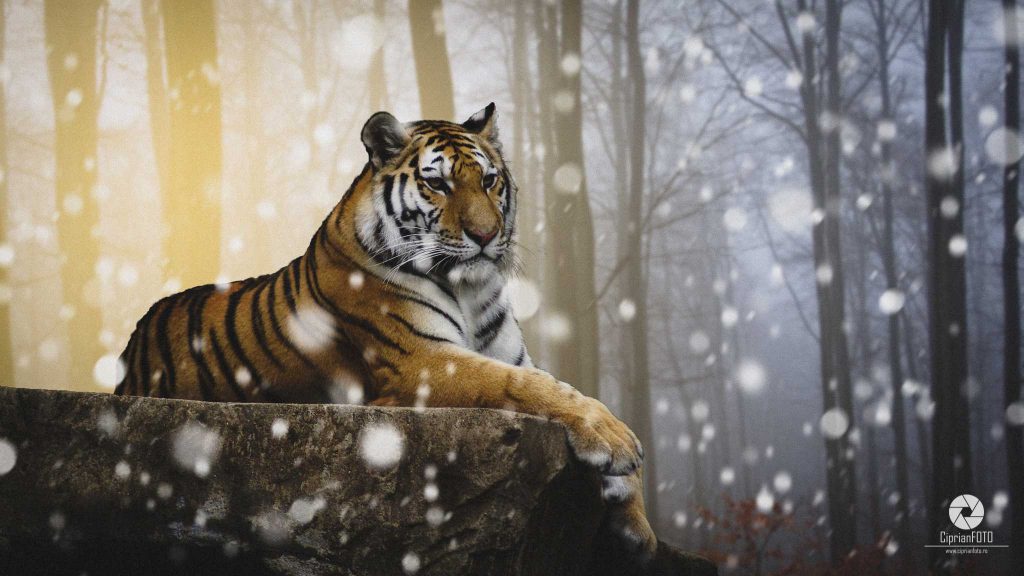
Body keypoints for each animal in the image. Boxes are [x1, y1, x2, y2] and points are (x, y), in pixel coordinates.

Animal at [114, 104, 656, 556]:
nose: (485, 236)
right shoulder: (425, 361)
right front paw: (617, 441)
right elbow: (531, 387)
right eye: (439, 185)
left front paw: (636, 526)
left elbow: (553, 383)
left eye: (490, 180)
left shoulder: (501, 353)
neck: (471, 290)